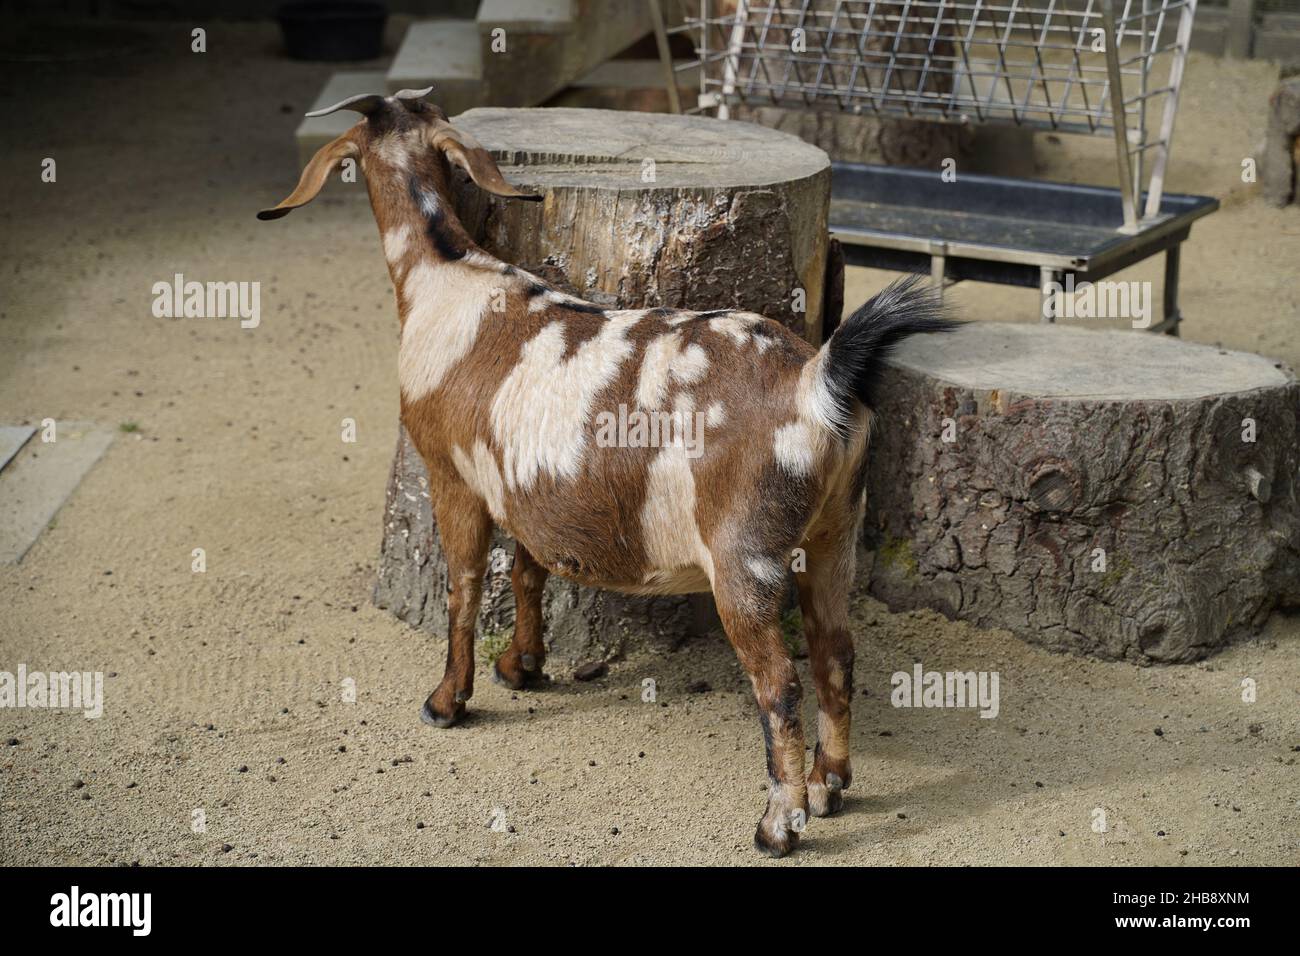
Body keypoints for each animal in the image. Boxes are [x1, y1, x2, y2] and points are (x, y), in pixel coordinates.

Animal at [259, 89, 955, 857]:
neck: (445, 276)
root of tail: (815, 380)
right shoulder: (528, 485)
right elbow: (529, 570)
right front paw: (522, 668)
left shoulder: (452, 475)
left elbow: (464, 585)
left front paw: (447, 702)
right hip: (833, 534)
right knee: (836, 653)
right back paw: (831, 787)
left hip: (743, 555)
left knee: (780, 684)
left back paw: (779, 824)